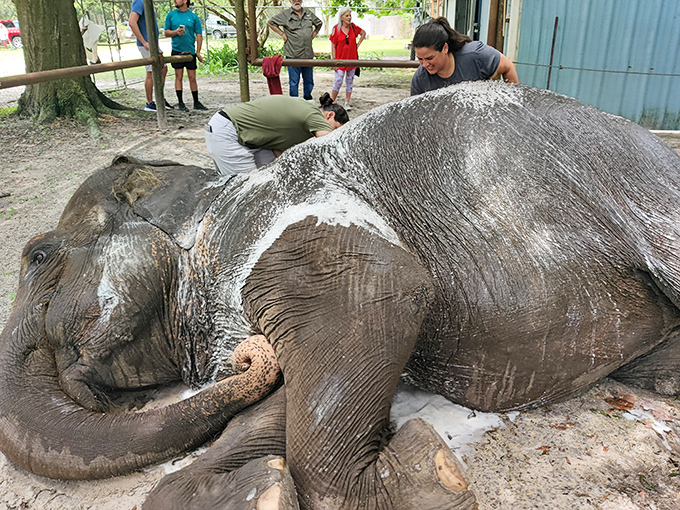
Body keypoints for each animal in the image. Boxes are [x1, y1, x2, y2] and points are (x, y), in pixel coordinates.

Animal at [2, 81, 680, 509]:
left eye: (38, 256)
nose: (254, 354)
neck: (210, 202)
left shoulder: (283, 223)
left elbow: (390, 291)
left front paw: (432, 468)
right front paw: (262, 483)